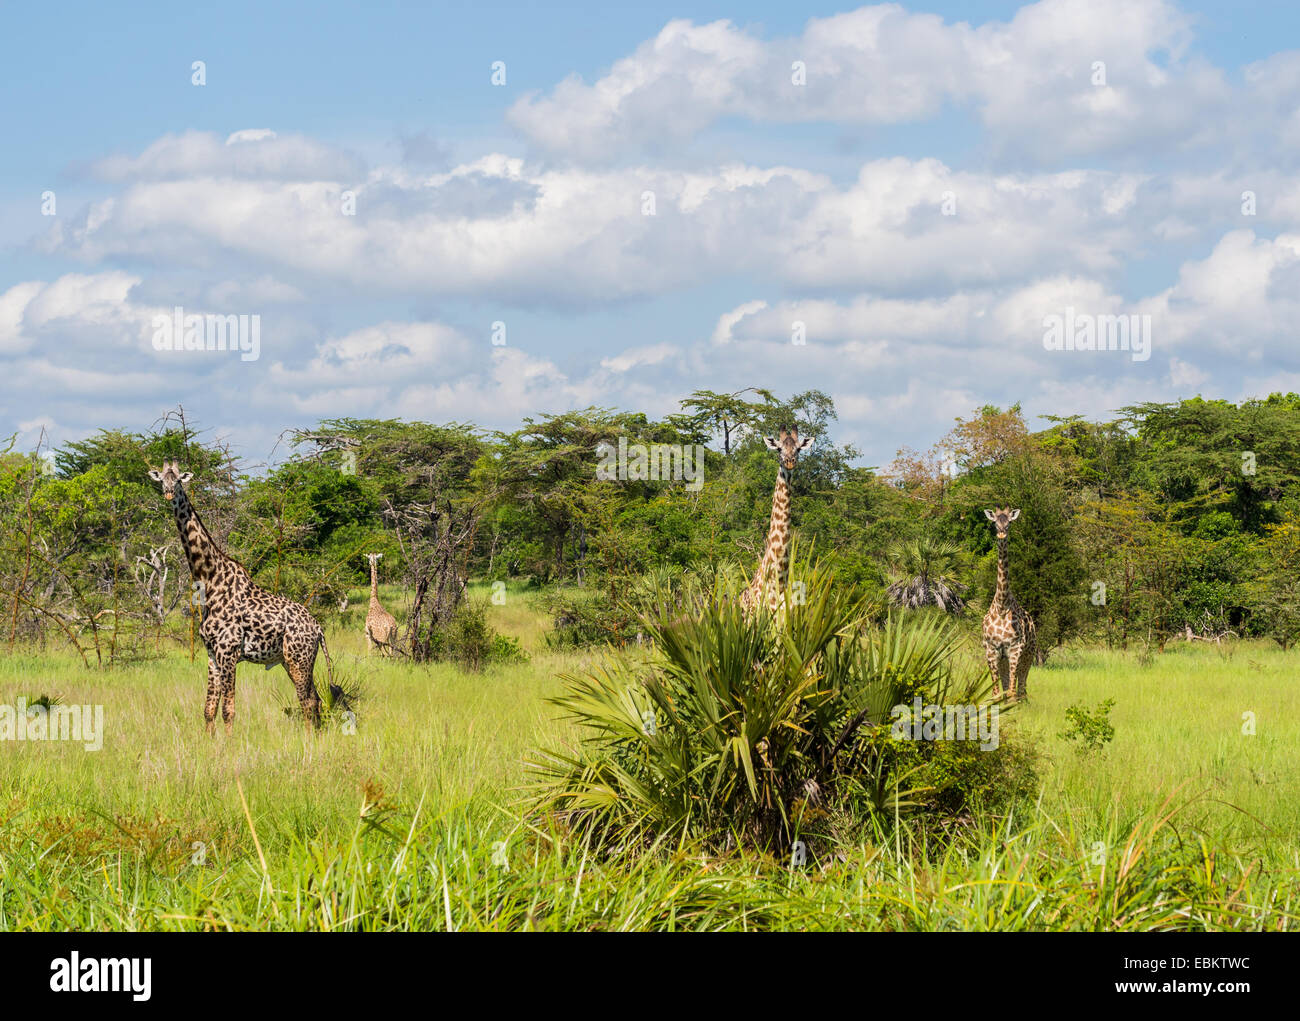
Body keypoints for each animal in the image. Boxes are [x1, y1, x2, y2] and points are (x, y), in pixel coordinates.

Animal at [148, 460, 330, 732]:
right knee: (316, 699)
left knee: (307, 701)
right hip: (292, 660)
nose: (169, 493)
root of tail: (317, 628)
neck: (209, 580)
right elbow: (209, 709)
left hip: (299, 658)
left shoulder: (229, 650)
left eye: (179, 480)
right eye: (161, 479)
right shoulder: (212, 653)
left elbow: (228, 710)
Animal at [981, 507, 1038, 702]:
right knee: (1008, 687)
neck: (1001, 606)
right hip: (1004, 659)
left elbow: (1012, 693)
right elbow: (997, 693)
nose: (1001, 533)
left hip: (1029, 655)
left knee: (1021, 689)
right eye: (994, 522)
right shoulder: (991, 650)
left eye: (1009, 523)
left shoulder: (1015, 649)